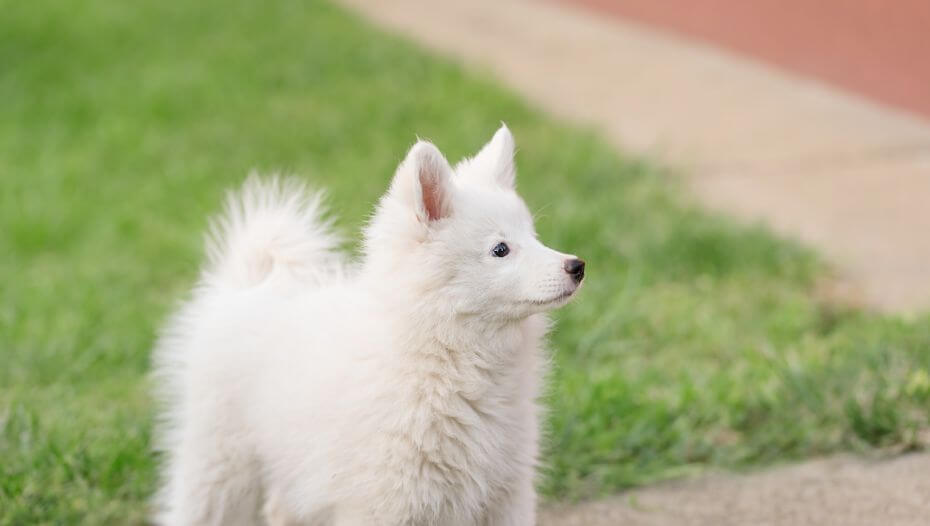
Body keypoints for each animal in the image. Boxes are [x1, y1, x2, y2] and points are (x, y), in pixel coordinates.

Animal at [153, 127, 588, 526]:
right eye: (500, 249)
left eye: (534, 237)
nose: (577, 266)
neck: (447, 356)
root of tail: (250, 283)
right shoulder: (386, 503)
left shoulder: (505, 494)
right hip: (220, 461)